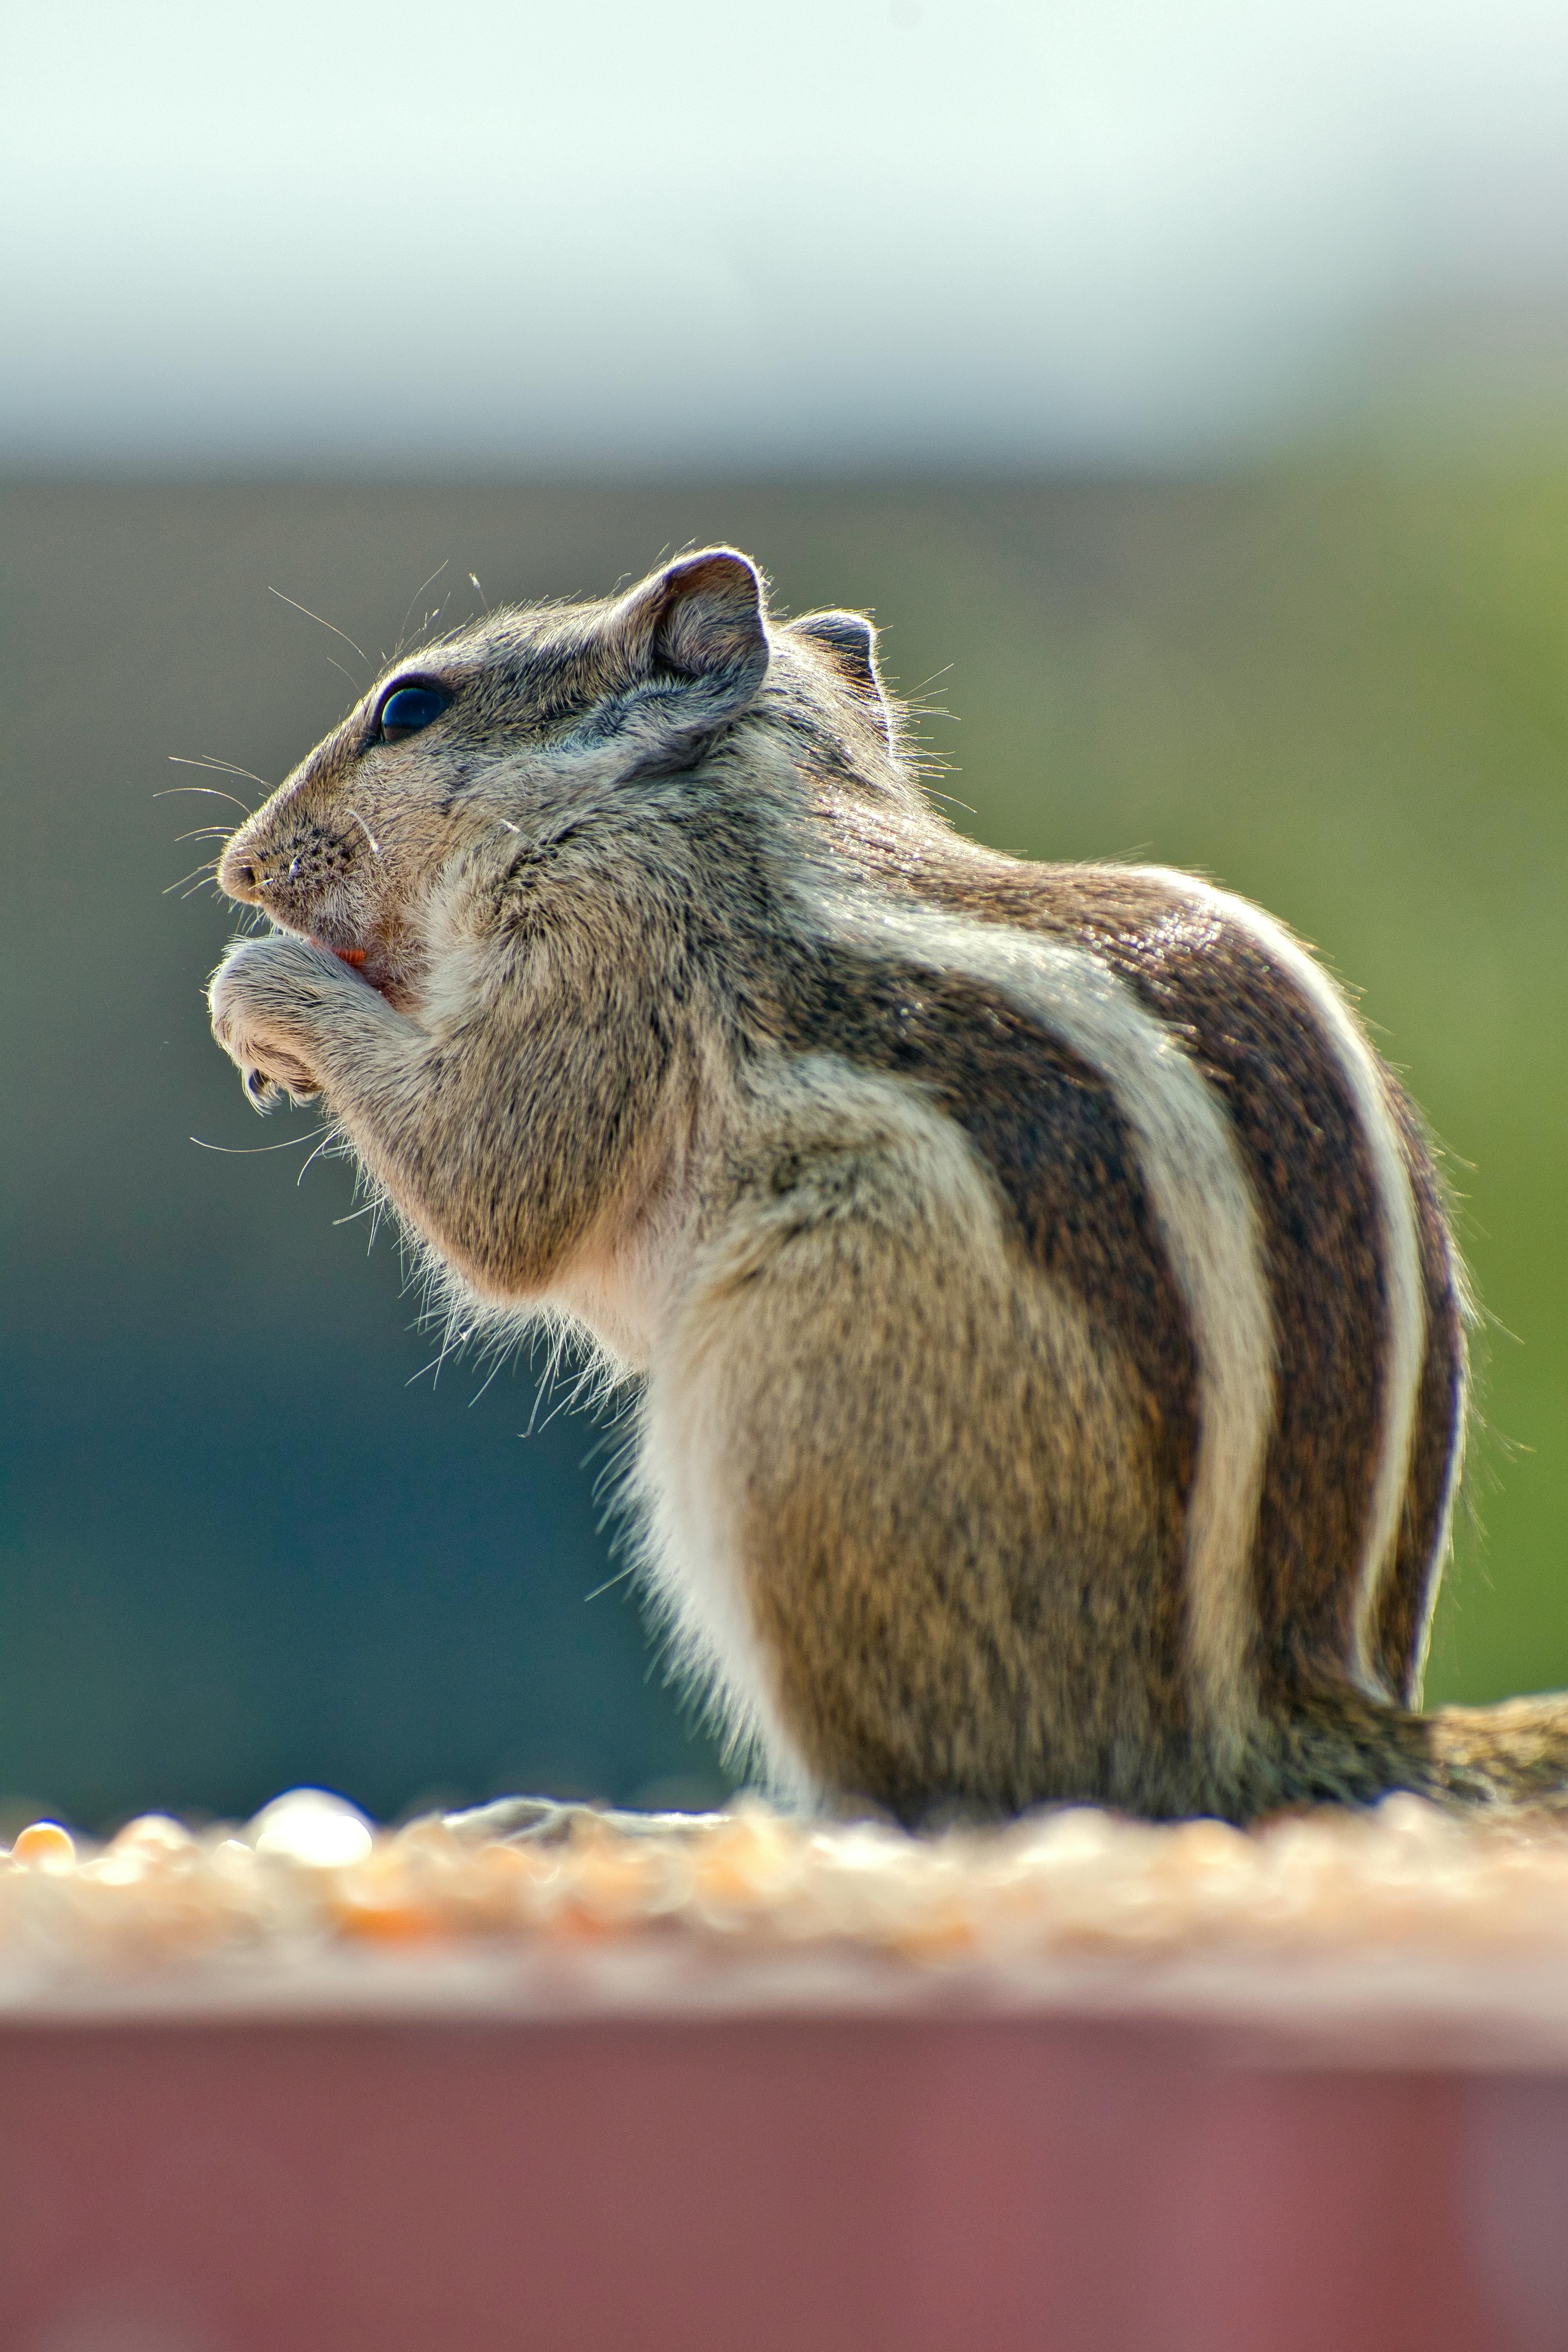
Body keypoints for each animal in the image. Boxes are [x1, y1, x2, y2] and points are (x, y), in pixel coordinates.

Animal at [209, 546, 1568, 1825]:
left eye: (408, 708)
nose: (242, 869)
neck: (713, 795)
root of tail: (1268, 1720)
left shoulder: (601, 949)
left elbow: (498, 1186)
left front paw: (260, 991)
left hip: (795, 1424)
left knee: (924, 1798)